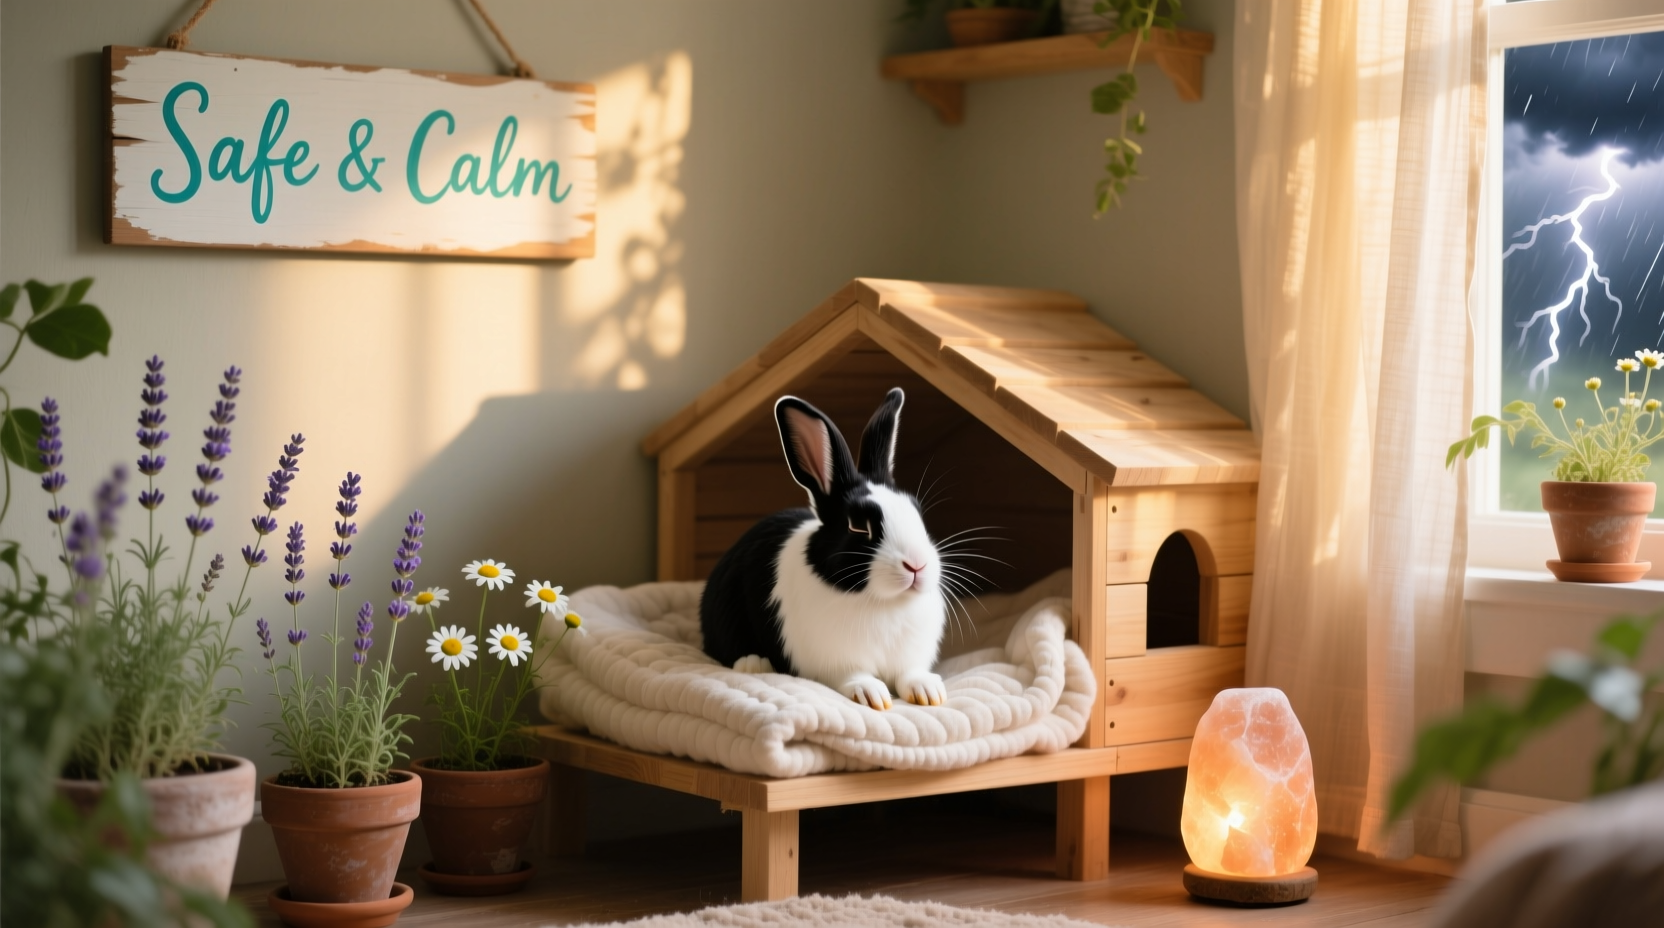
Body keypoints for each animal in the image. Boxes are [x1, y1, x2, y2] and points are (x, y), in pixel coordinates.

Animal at [699, 387, 948, 710]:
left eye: (916, 512)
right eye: (858, 526)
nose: (916, 565)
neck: (884, 602)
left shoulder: (909, 658)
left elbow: (910, 674)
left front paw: (929, 692)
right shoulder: (839, 662)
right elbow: (854, 676)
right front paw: (872, 695)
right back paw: (754, 664)